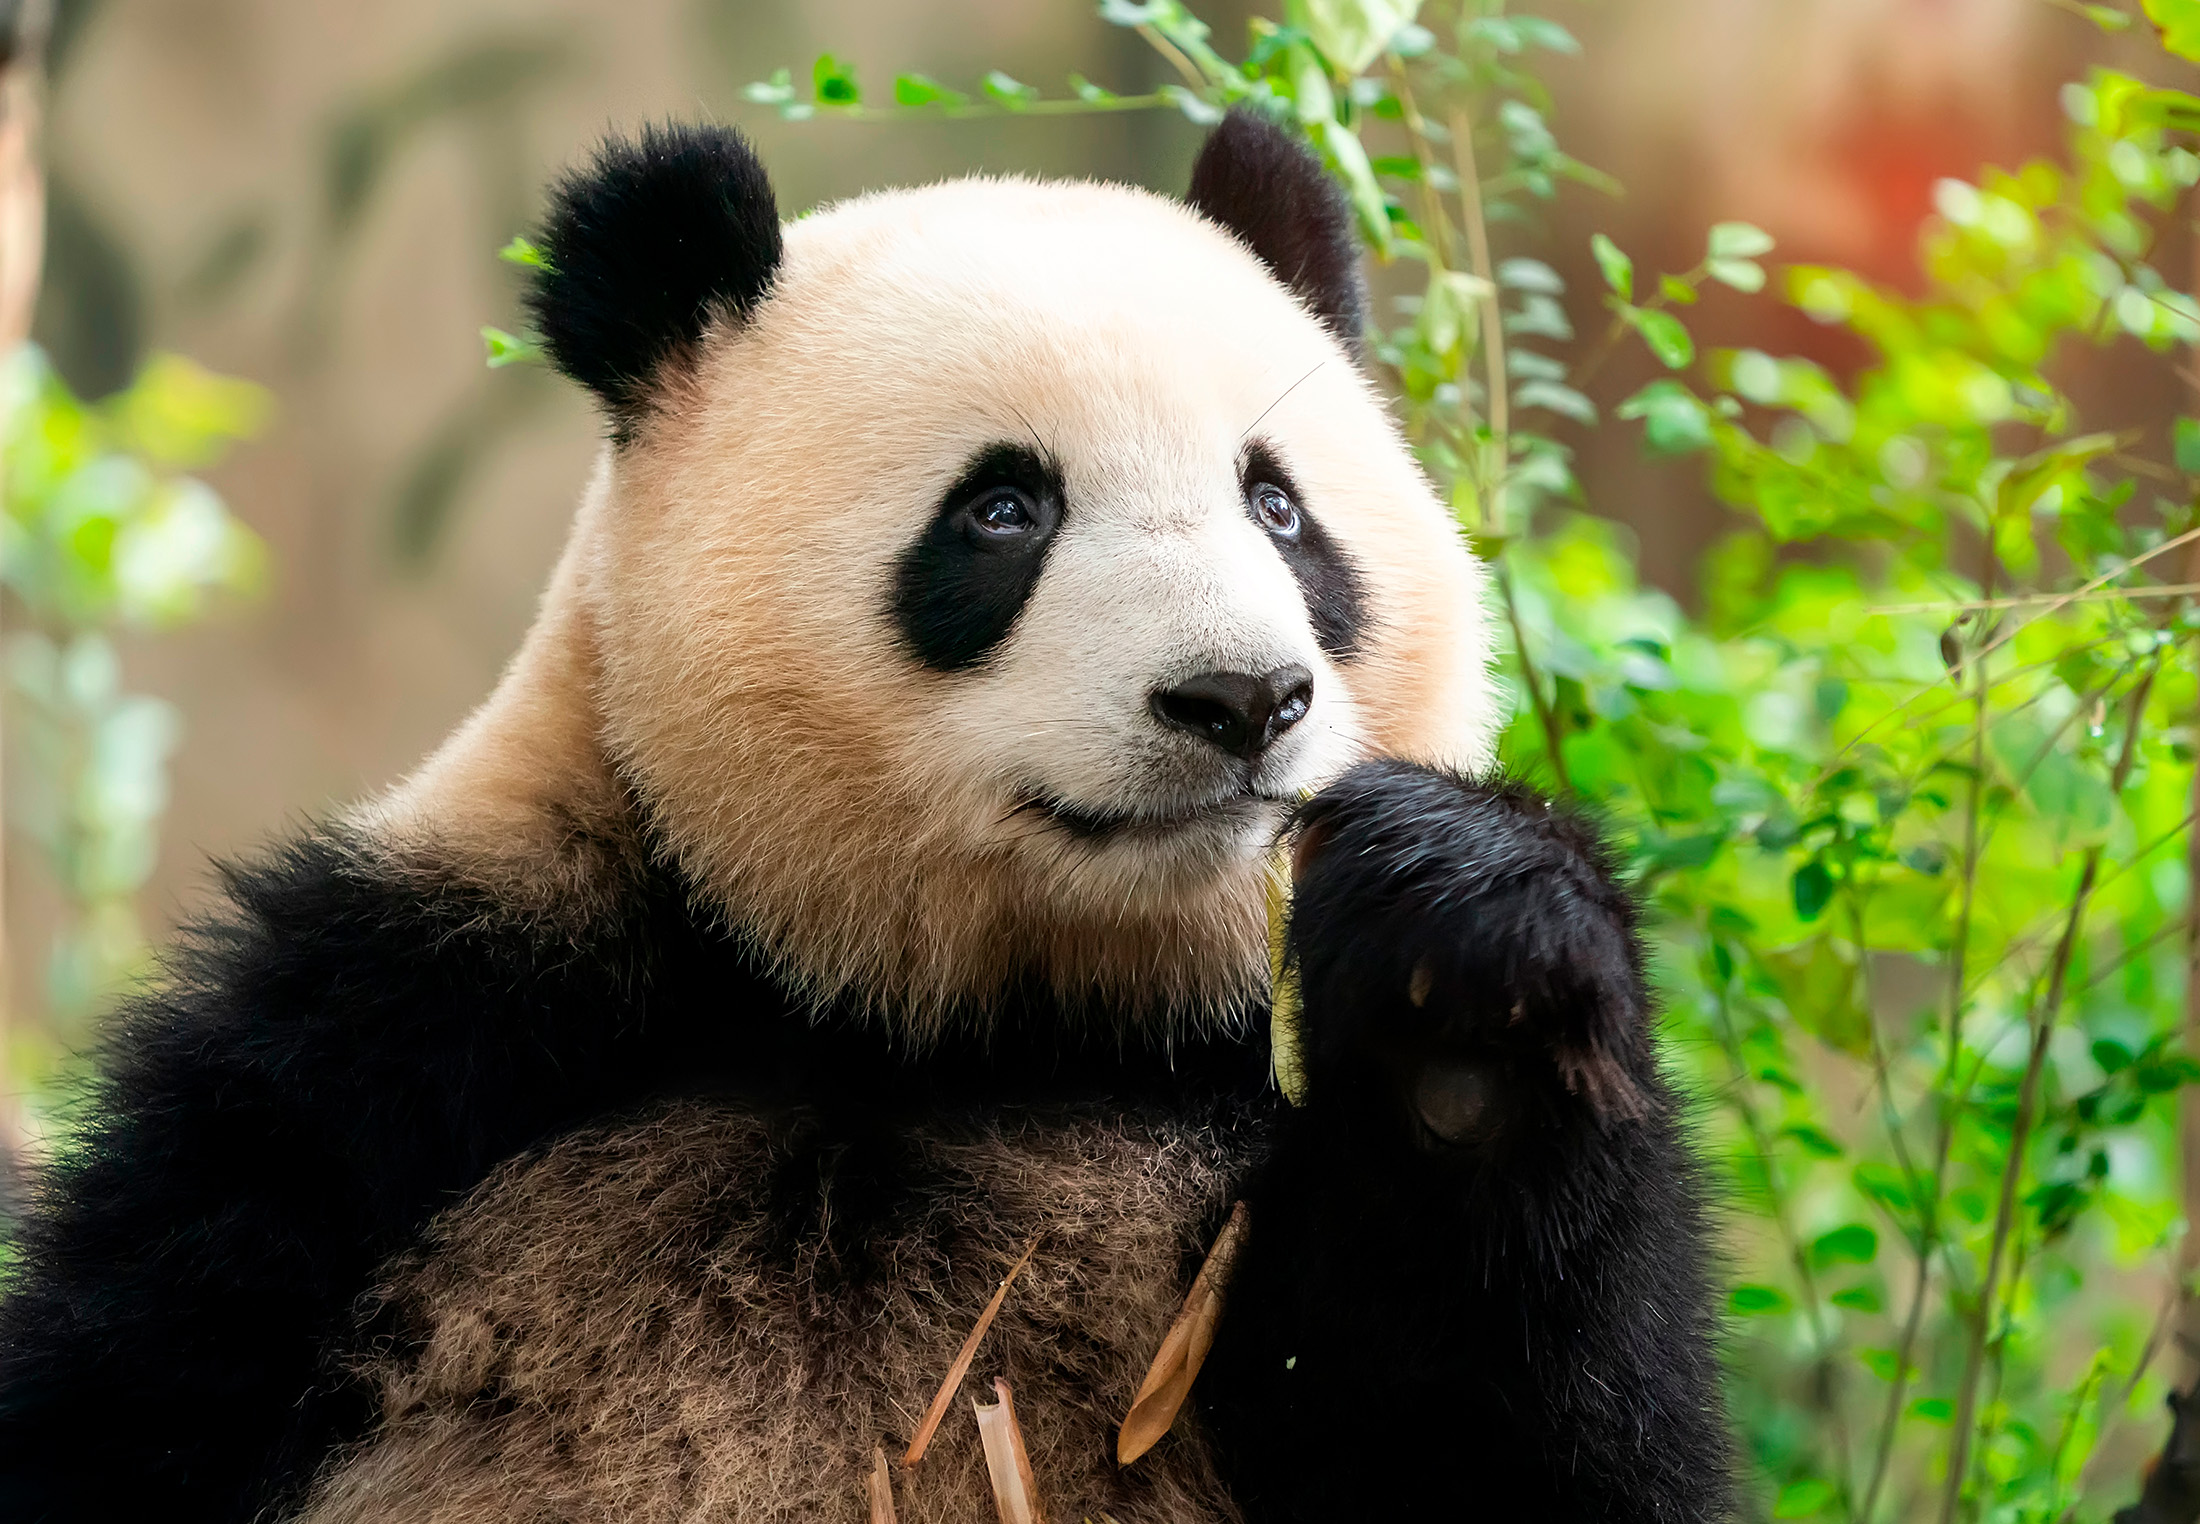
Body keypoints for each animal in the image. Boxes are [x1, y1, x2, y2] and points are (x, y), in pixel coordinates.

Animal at [0, 112, 1730, 1522]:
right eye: (1004, 509)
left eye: (1281, 507)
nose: (1242, 700)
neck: (947, 1023)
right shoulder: (416, 1031)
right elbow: (129, 1378)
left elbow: (1533, 1447)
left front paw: (1466, 979)